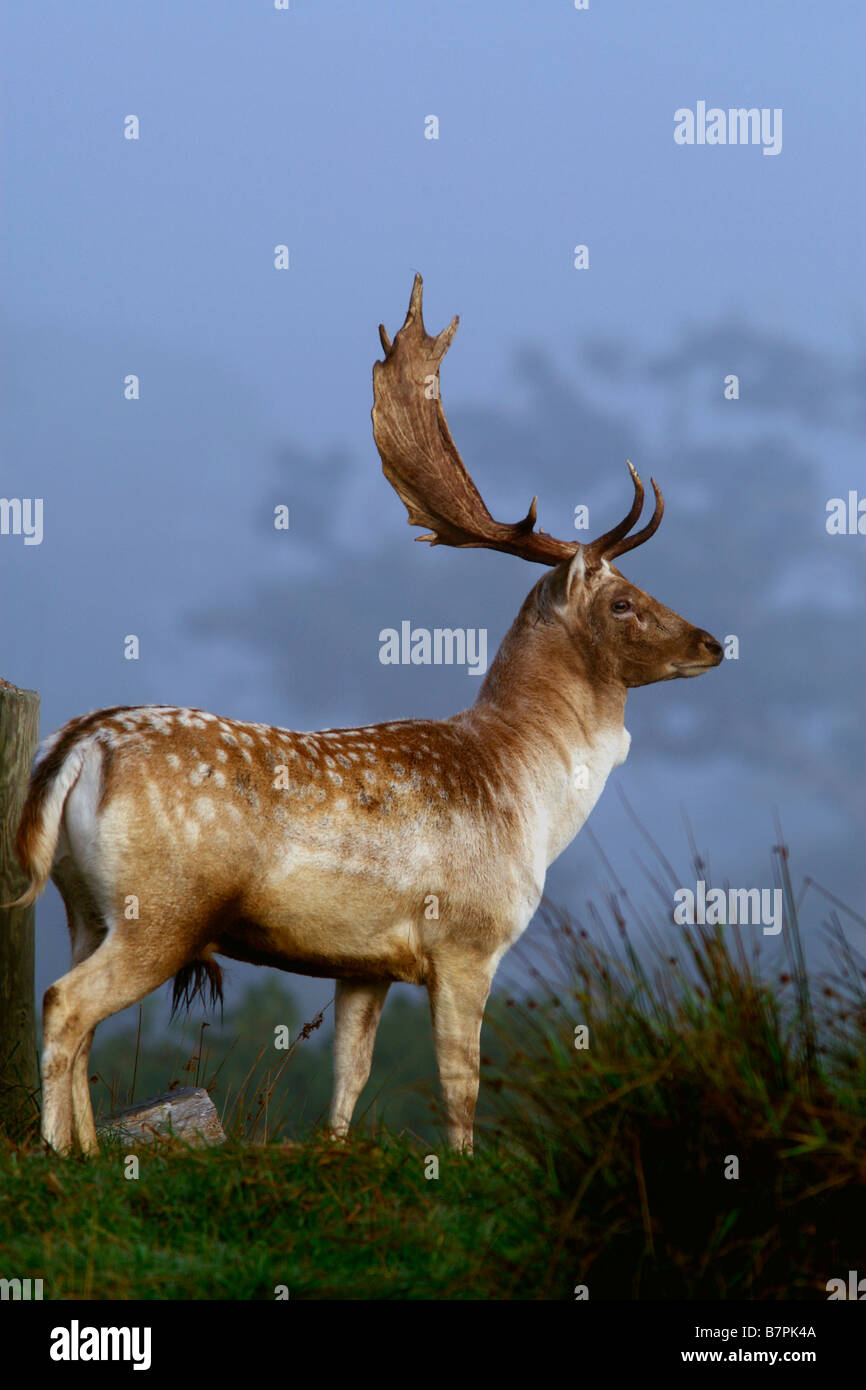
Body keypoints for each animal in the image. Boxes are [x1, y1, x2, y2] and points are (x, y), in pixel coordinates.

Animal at [10, 274, 723, 1156]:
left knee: (71, 1005)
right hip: (163, 908)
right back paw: (60, 1152)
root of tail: (77, 744)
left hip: (82, 901)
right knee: (64, 1002)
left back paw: (88, 1148)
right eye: (622, 602)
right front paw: (461, 1164)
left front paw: (337, 1150)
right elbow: (461, 1082)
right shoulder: (468, 938)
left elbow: (350, 1077)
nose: (711, 641)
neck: (527, 793)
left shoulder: (364, 963)